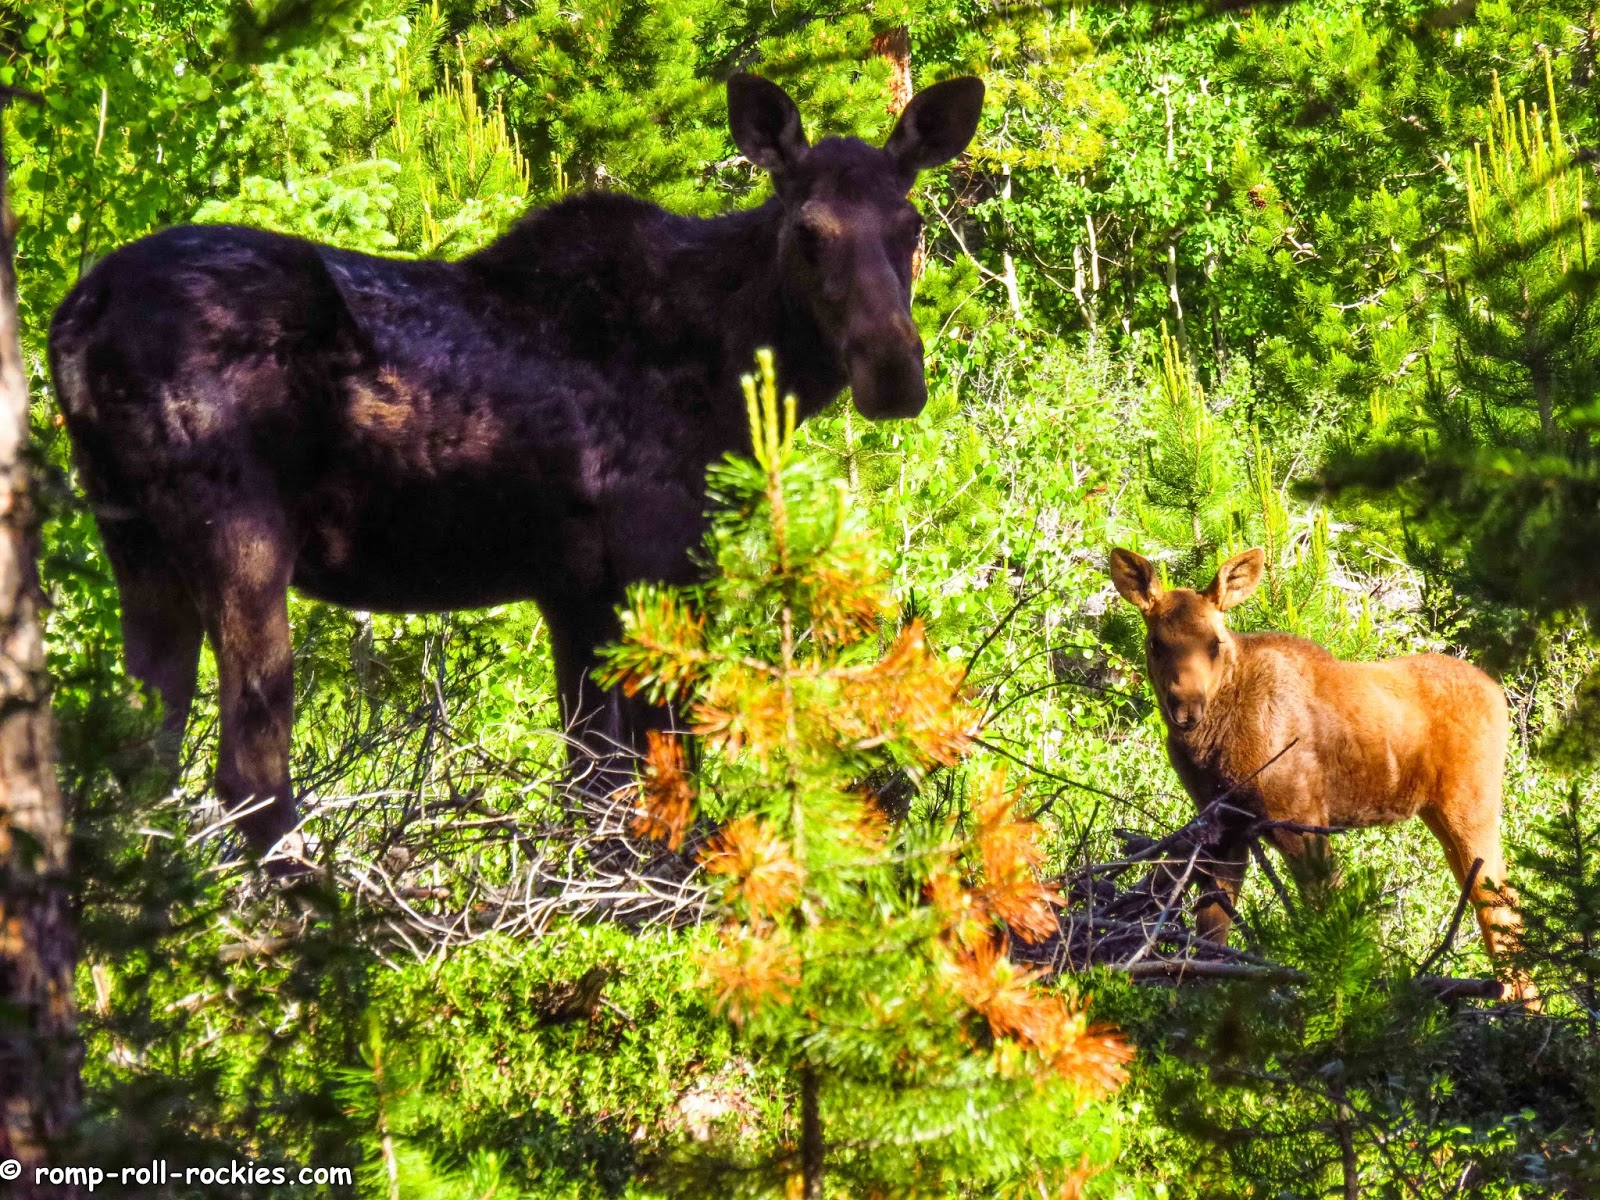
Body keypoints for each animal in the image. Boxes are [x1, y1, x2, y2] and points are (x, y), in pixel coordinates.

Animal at [47, 73, 984, 864]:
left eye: (911, 228)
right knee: (249, 772)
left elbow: (594, 782)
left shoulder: (575, 592)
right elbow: (664, 774)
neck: (743, 367)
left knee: (138, 765)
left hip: (137, 548)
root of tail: (75, 318)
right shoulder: (663, 564)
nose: (895, 373)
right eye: (809, 234)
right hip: (240, 536)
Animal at [1109, 546, 1534, 1000]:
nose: (1187, 708)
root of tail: (1499, 695)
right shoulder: (1223, 825)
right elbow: (1212, 933)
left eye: (1215, 643)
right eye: (1155, 642)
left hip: (1471, 806)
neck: (1215, 743)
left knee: (1502, 903)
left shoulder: (1301, 817)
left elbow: (1324, 915)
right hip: (1436, 812)